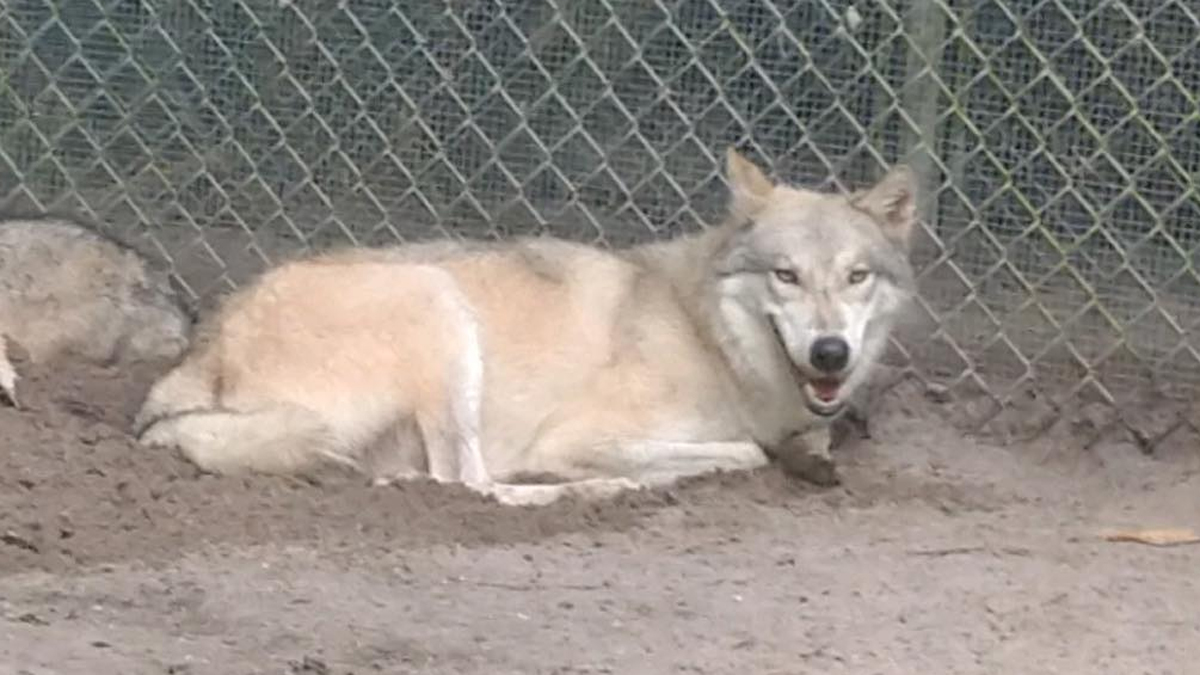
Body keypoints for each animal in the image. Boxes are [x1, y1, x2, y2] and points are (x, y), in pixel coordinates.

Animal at [134, 149, 918, 506]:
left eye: (856, 277)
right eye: (786, 275)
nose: (830, 351)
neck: (712, 338)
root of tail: (203, 353)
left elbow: (797, 439)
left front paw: (814, 449)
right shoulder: (581, 434)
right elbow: (743, 452)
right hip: (440, 304)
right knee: (471, 482)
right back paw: (586, 491)